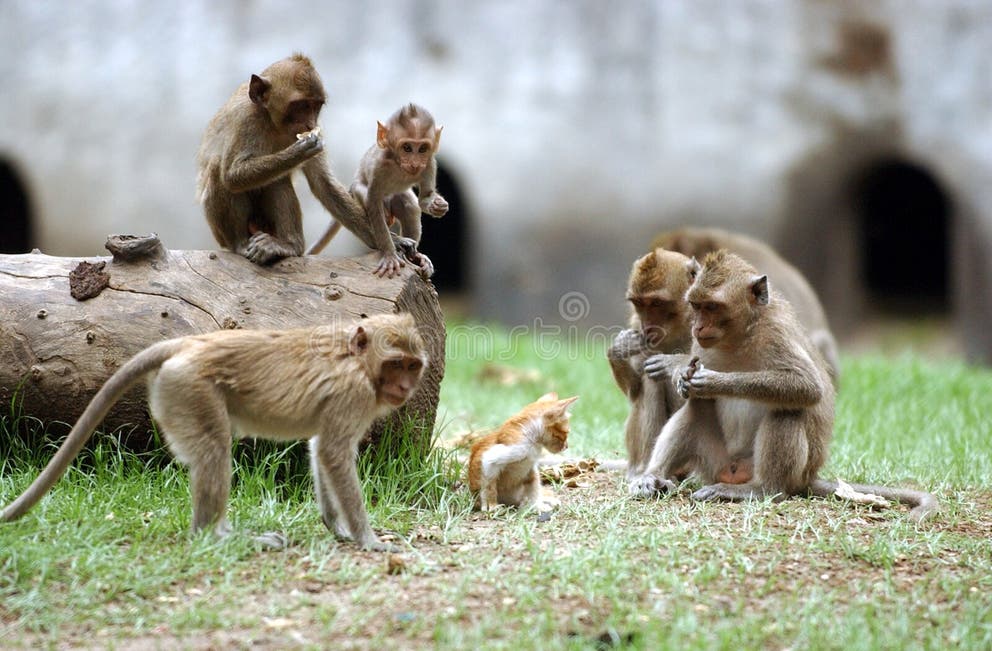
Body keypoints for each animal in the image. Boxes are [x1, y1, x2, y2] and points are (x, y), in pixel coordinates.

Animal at [1, 313, 427, 551]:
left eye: (412, 365)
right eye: (396, 364)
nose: (405, 387)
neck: (360, 363)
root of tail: (188, 343)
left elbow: (321, 448)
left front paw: (336, 527)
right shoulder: (353, 394)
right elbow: (335, 453)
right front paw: (367, 540)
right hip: (190, 389)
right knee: (214, 449)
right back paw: (217, 535)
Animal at [197, 53, 420, 268]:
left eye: (315, 106)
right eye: (301, 105)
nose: (310, 124)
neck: (273, 123)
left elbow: (324, 185)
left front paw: (393, 241)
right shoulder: (246, 119)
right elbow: (231, 176)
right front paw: (300, 150)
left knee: (277, 181)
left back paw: (289, 246)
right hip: (221, 233)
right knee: (218, 170)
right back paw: (240, 244)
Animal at [307, 103, 448, 279]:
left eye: (422, 149)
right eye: (407, 148)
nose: (415, 164)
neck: (397, 163)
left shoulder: (429, 163)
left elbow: (424, 198)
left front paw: (437, 205)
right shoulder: (379, 166)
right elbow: (373, 202)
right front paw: (389, 255)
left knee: (410, 206)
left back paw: (415, 256)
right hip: (357, 189)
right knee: (376, 205)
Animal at [629, 250, 937, 521]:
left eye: (712, 307)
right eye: (695, 306)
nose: (699, 327)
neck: (739, 336)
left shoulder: (776, 335)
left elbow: (806, 387)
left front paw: (713, 382)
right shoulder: (700, 346)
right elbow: (692, 397)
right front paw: (683, 375)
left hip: (786, 473)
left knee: (786, 410)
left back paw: (761, 490)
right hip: (715, 460)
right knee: (696, 410)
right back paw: (653, 476)